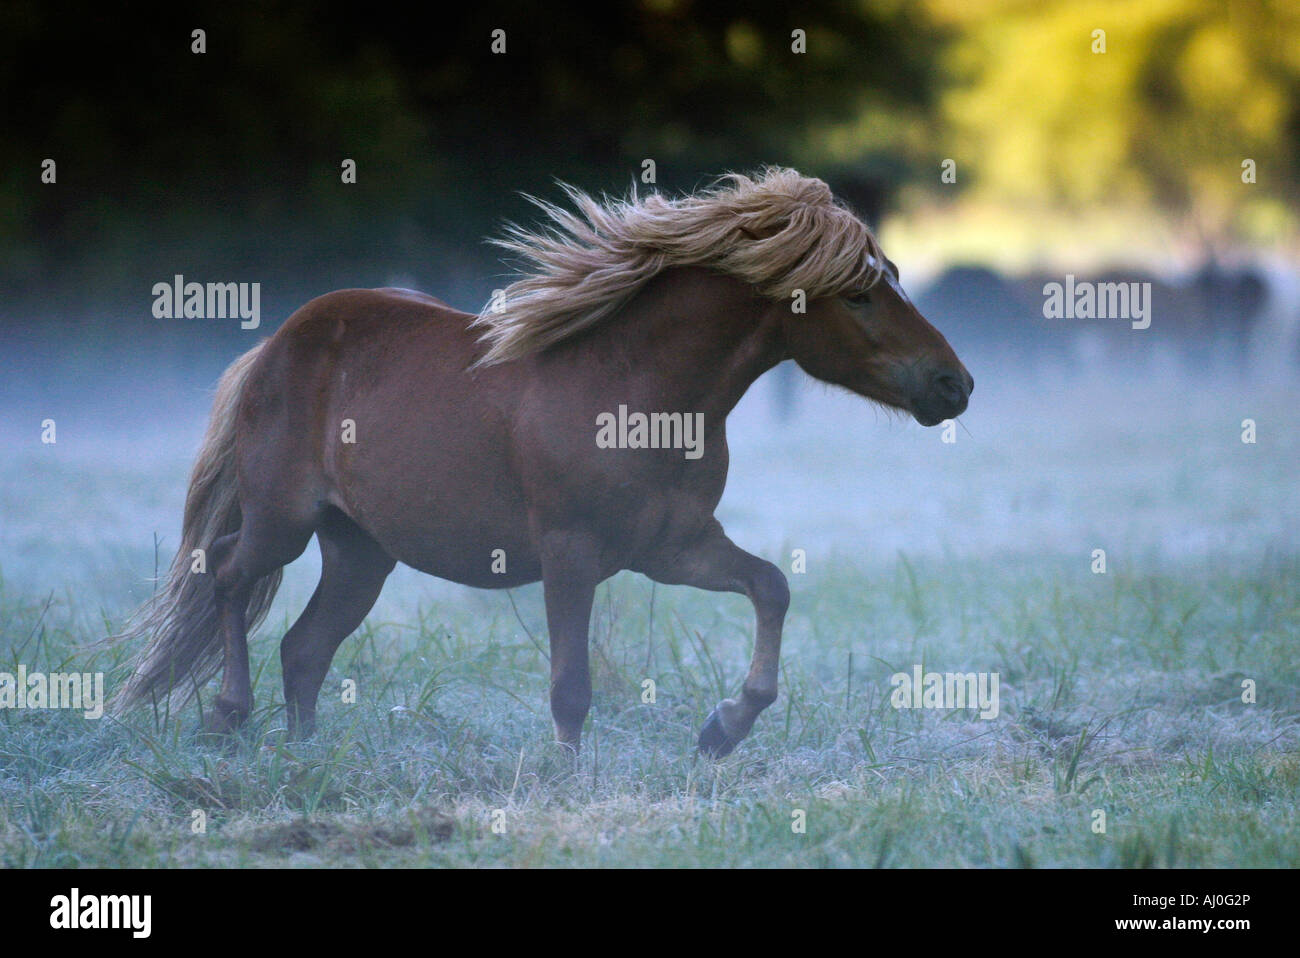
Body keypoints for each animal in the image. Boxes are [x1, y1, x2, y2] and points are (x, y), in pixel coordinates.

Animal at [112, 167, 972, 757]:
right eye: (857, 294)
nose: (954, 384)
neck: (638, 390)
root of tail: (272, 348)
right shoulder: (570, 554)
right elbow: (570, 688)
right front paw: (570, 778)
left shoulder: (674, 548)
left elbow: (771, 586)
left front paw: (722, 729)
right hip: (283, 523)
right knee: (227, 576)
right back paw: (227, 719)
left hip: (361, 551)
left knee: (303, 649)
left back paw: (306, 758)